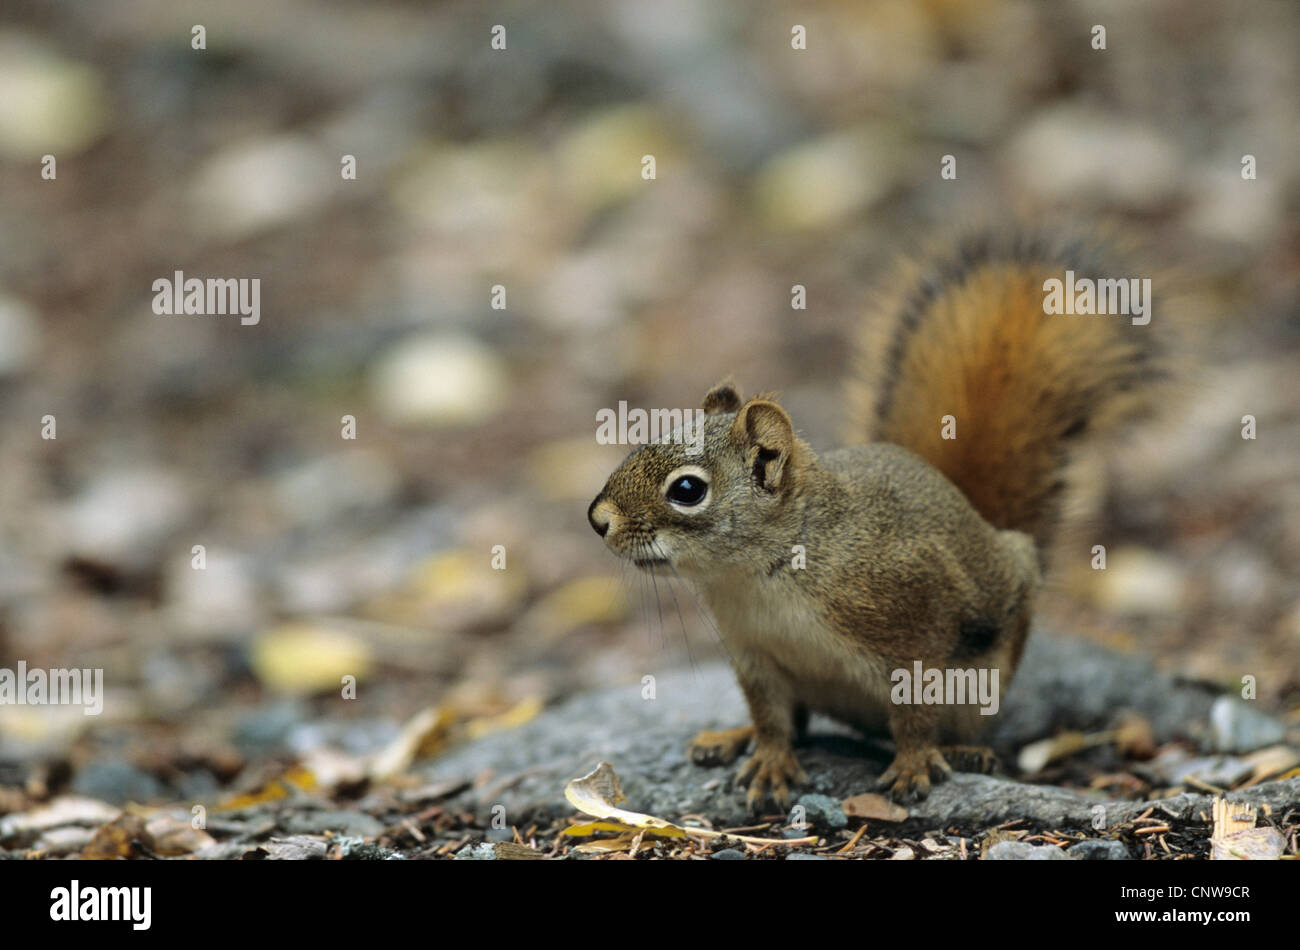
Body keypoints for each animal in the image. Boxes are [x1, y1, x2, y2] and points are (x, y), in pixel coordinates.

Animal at [587, 228, 1164, 809]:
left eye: (687, 490)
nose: (598, 519)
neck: (762, 576)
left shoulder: (912, 619)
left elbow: (915, 711)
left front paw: (912, 765)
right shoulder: (754, 656)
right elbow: (771, 718)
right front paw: (770, 760)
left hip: (985, 678)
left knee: (961, 724)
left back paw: (964, 752)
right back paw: (732, 737)